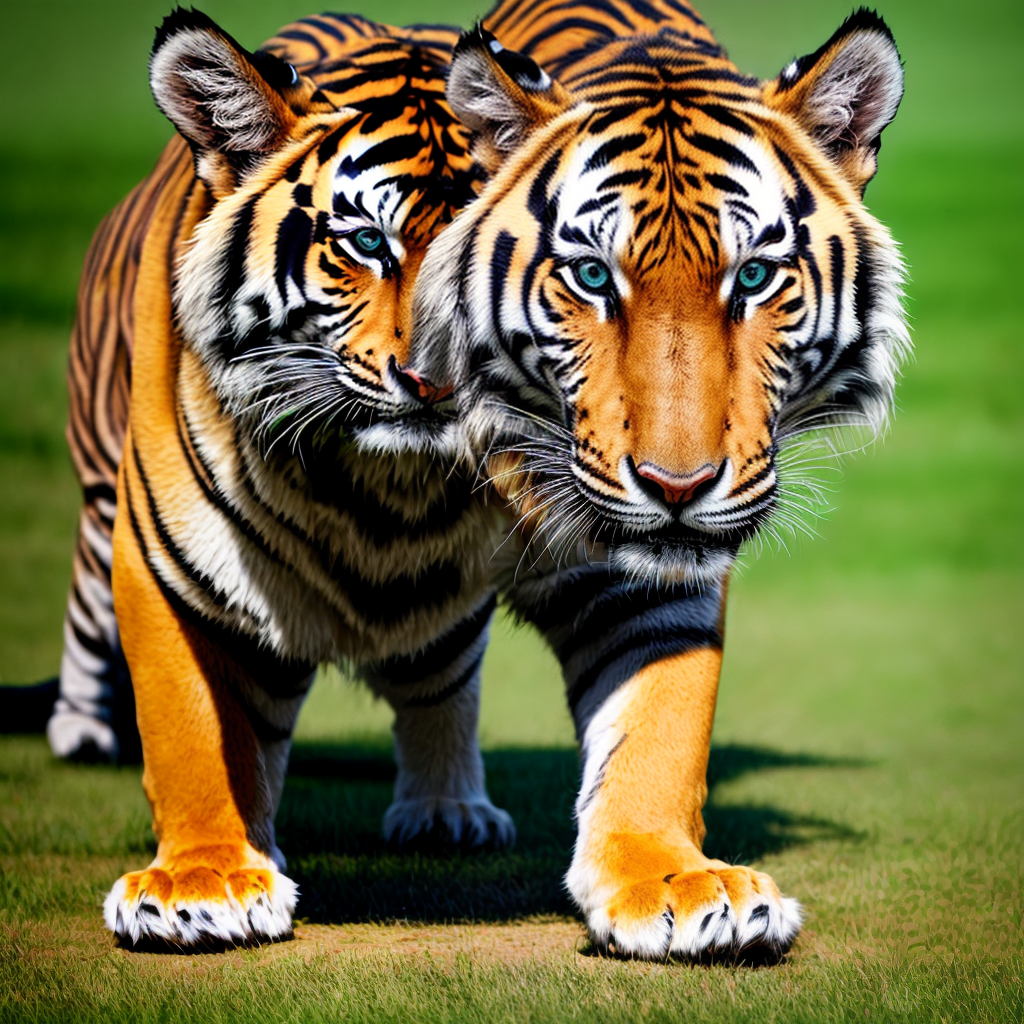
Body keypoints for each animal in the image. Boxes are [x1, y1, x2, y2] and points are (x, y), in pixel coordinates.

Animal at [406, 0, 909, 959]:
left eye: (755, 276)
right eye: (591, 277)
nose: (677, 487)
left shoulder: (660, 583)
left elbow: (662, 720)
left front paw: (676, 887)